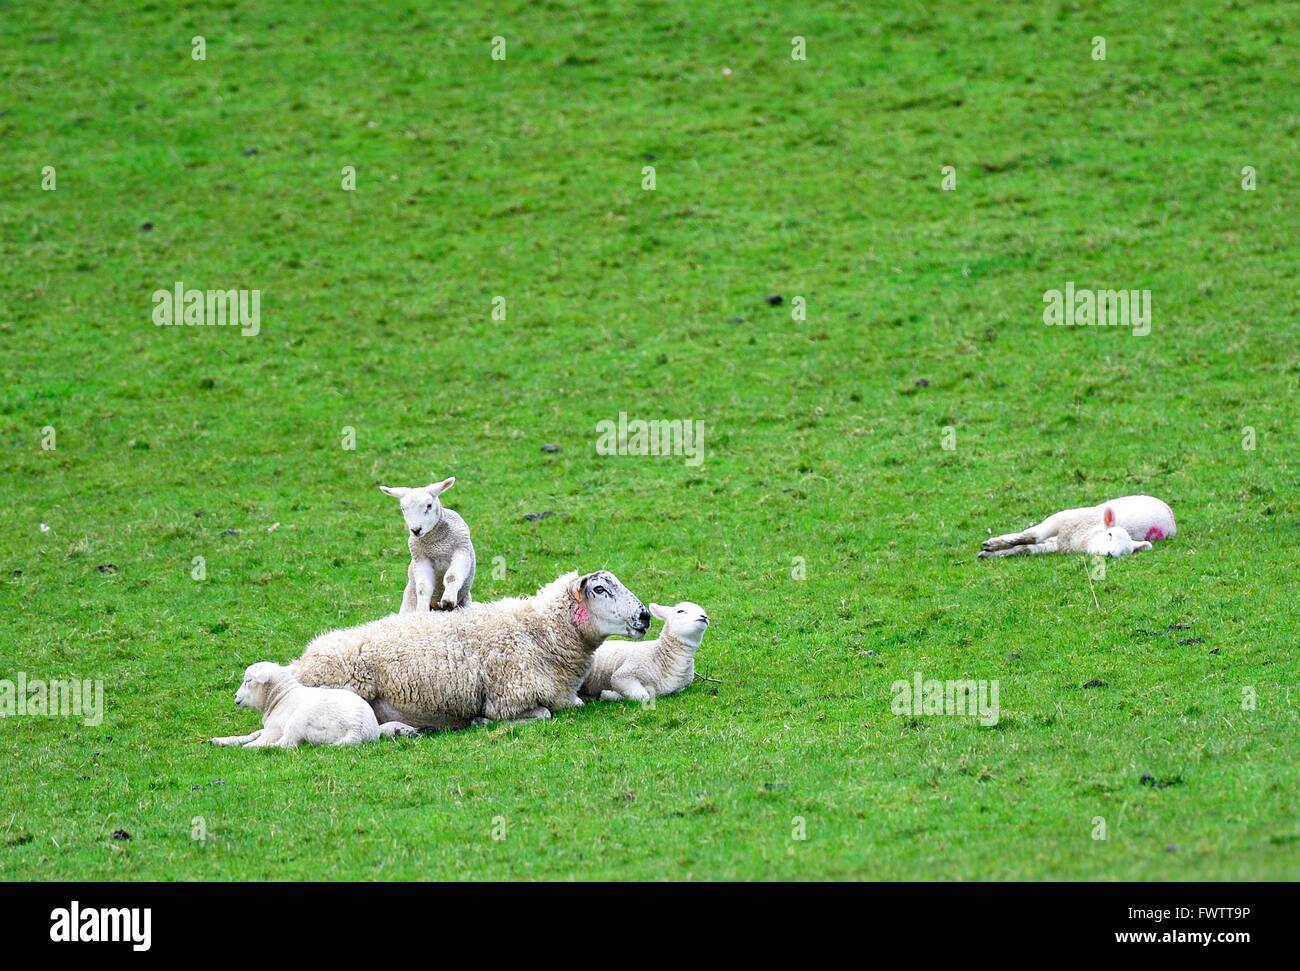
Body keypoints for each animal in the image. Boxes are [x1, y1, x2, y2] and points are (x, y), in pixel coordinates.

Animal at [210, 661, 419, 748]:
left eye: (248, 681)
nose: (235, 697)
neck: (281, 697)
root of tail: (358, 730)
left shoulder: (275, 729)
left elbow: (260, 739)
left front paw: (245, 746)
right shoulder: (269, 728)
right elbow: (250, 734)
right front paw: (223, 740)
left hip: (302, 718)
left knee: (286, 745)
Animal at [293, 570, 651, 729]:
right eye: (600, 589)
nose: (645, 616)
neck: (538, 632)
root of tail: (302, 661)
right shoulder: (507, 700)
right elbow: (545, 713)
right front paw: (481, 721)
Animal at [379, 477, 476, 612]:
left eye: (429, 506)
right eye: (403, 508)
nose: (416, 530)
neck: (437, 544)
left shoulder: (461, 550)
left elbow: (452, 576)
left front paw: (448, 600)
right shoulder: (420, 559)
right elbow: (423, 588)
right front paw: (422, 611)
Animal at [580, 601, 710, 702]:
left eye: (703, 612)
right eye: (680, 611)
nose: (704, 617)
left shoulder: (681, 688)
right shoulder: (624, 675)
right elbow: (644, 696)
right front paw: (608, 694)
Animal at [979, 494, 1175, 558]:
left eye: (1125, 552)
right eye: (1110, 535)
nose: (1110, 554)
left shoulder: (1060, 544)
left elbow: (1027, 548)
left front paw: (992, 552)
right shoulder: (1060, 520)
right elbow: (1032, 536)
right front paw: (993, 545)